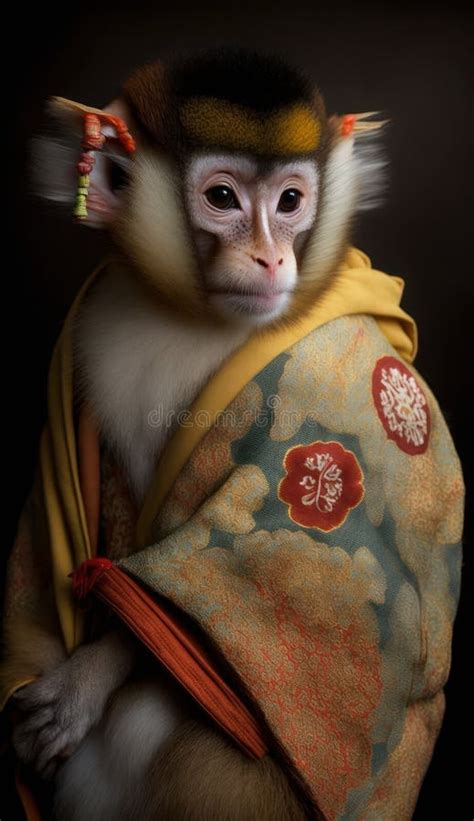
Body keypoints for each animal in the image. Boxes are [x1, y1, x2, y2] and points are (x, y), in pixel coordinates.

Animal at [2, 49, 463, 821]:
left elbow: (227, 588)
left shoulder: (341, 373)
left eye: (290, 201)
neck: (190, 318)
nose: (271, 259)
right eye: (223, 197)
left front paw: (93, 671)